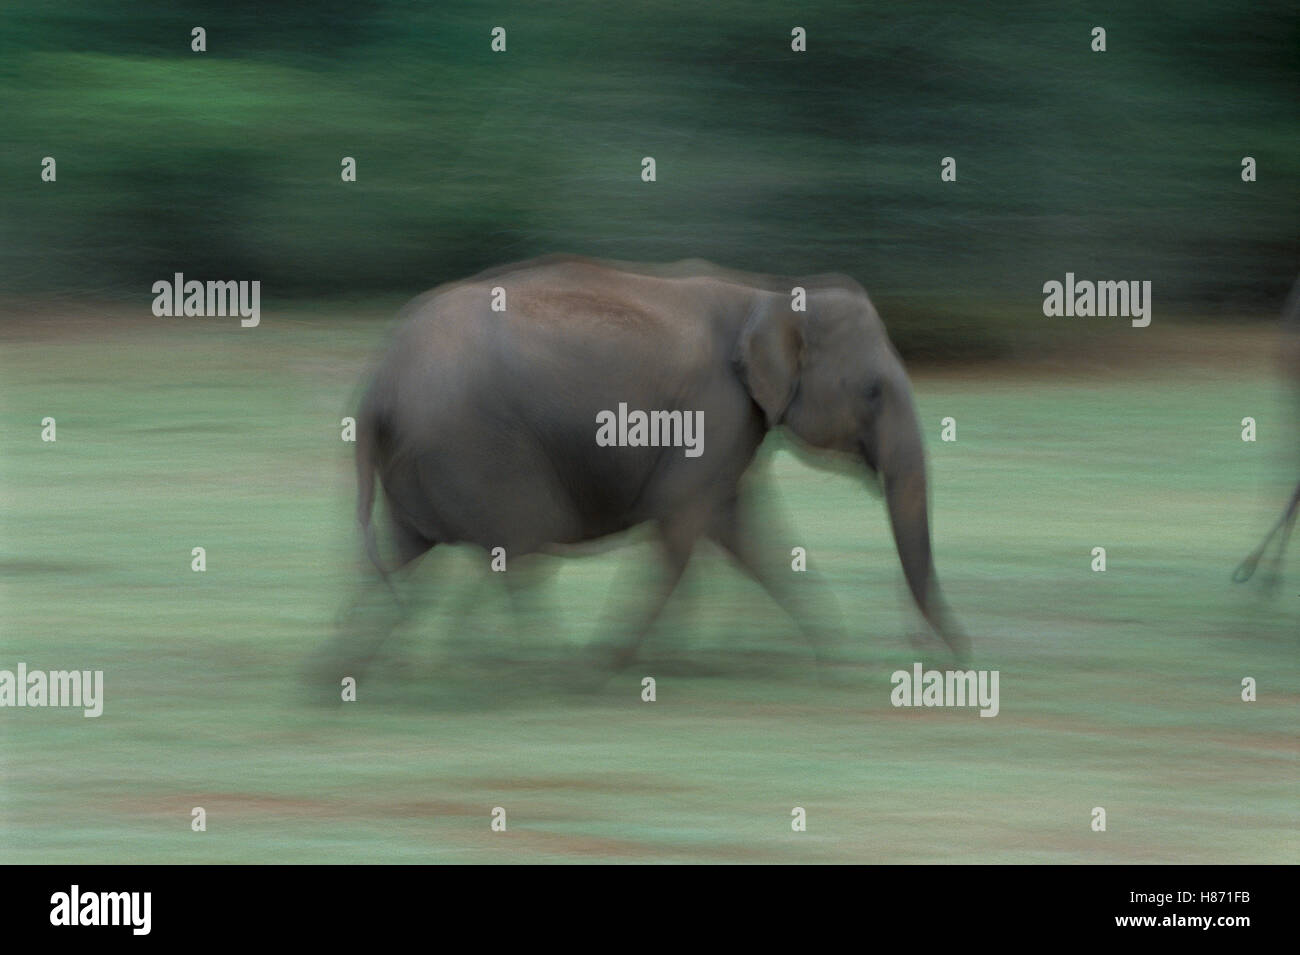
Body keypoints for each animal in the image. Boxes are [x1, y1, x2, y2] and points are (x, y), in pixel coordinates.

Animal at [344, 254, 969, 673]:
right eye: (872, 393)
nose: (949, 655)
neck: (769, 294)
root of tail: (378, 384)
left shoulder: (731, 422)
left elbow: (742, 530)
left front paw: (830, 657)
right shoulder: (712, 409)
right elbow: (683, 527)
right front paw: (609, 664)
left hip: (426, 462)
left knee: (410, 553)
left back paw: (344, 675)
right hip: (479, 447)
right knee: (518, 546)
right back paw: (541, 669)